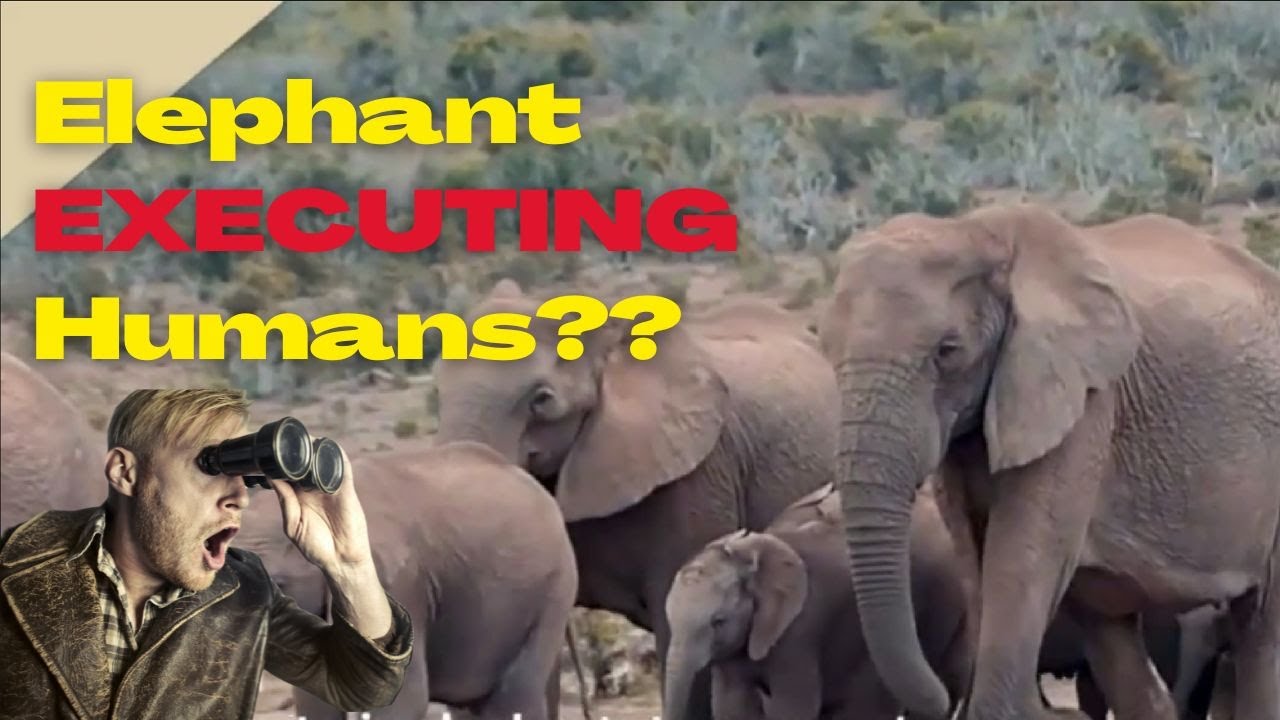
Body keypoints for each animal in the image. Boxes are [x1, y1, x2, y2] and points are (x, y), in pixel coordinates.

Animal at [816, 202, 1280, 720]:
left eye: (947, 351)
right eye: (826, 347)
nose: (941, 696)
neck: (977, 233)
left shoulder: (1084, 400)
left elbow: (1019, 559)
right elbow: (976, 560)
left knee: (1261, 632)